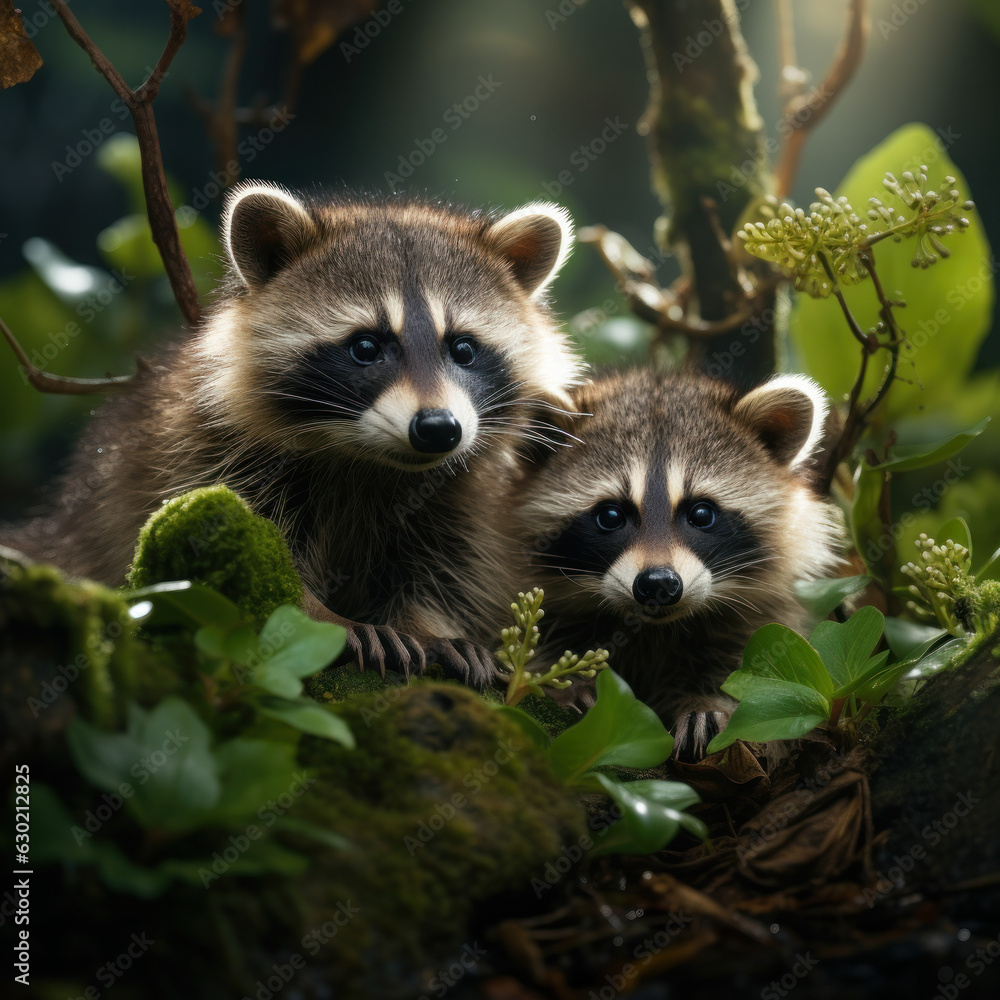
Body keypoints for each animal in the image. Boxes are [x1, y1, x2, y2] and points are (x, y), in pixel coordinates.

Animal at [6, 183, 583, 679]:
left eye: (463, 349)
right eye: (365, 347)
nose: (438, 429)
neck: (369, 461)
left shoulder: (456, 492)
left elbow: (447, 565)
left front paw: (429, 626)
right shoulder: (206, 452)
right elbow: (252, 554)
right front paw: (322, 617)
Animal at [514, 368, 844, 758]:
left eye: (701, 514)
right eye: (610, 515)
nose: (658, 584)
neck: (654, 630)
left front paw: (707, 702)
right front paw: (561, 683)